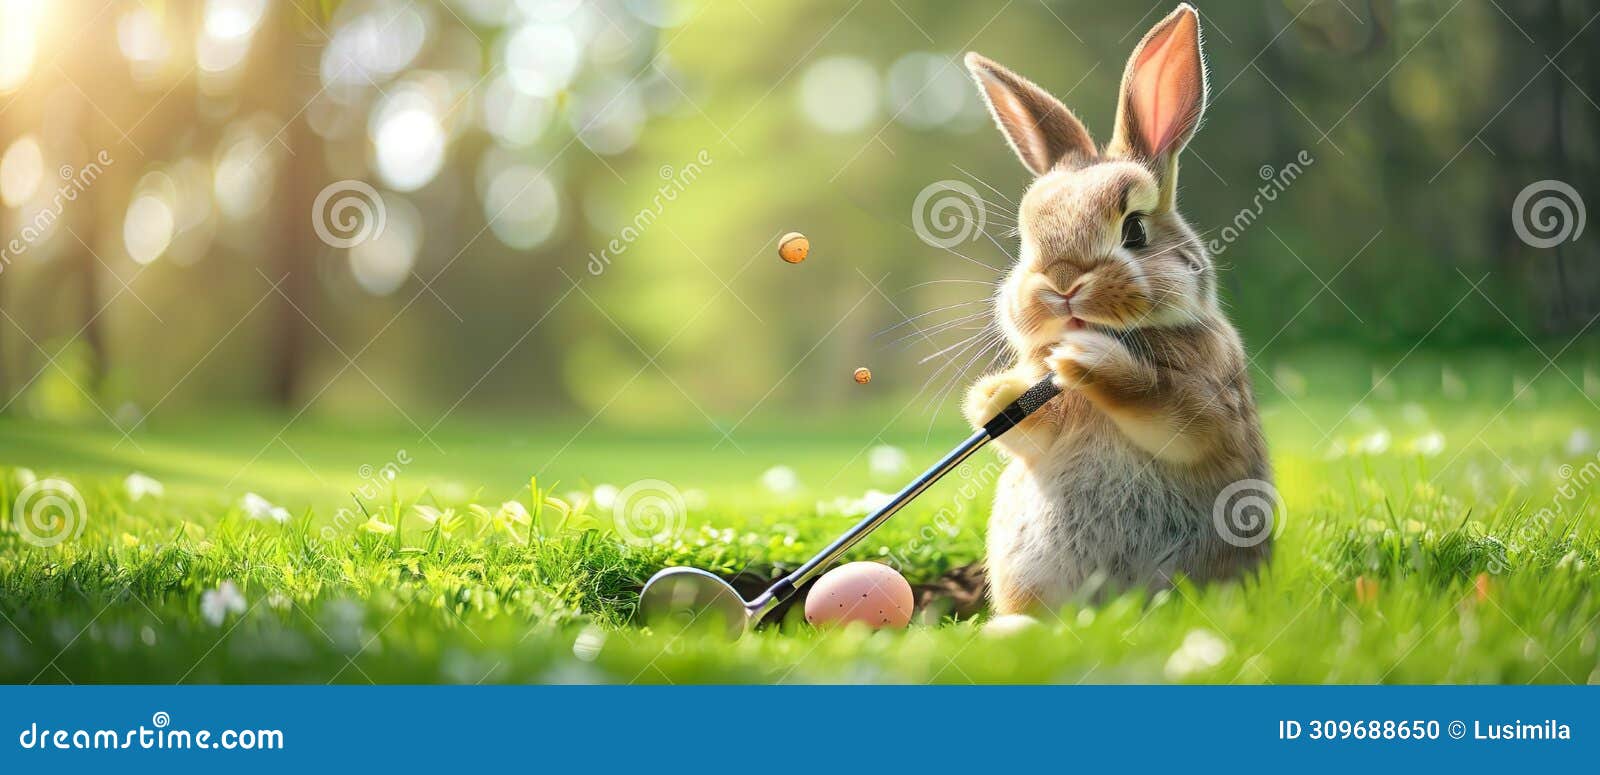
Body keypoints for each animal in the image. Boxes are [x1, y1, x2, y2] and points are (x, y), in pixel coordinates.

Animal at [959, 4, 1273, 617]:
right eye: (1025, 241)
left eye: (1134, 230)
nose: (1061, 284)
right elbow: (1027, 430)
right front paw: (995, 394)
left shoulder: (1214, 402)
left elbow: (1170, 408)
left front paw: (1089, 361)